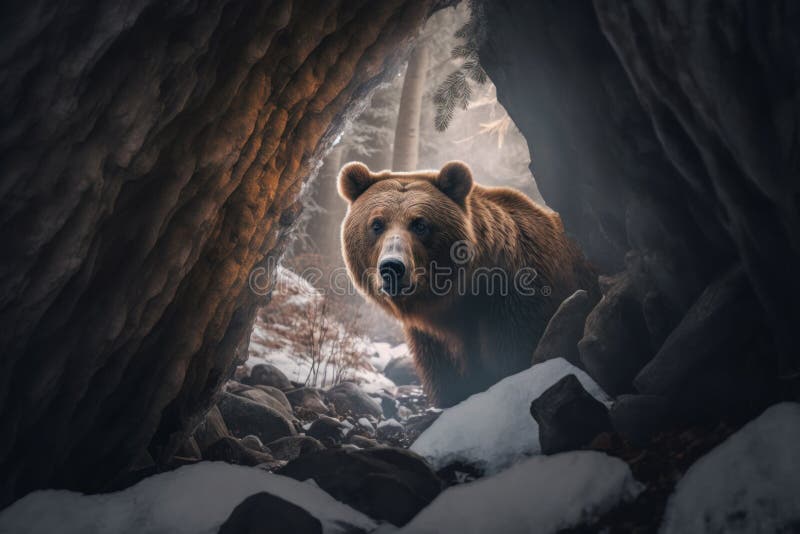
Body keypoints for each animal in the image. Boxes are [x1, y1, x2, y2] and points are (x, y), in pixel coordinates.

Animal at [338, 160, 597, 407]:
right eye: (376, 224)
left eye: (420, 224)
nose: (392, 267)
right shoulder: (431, 339)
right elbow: (446, 378)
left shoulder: (516, 305)